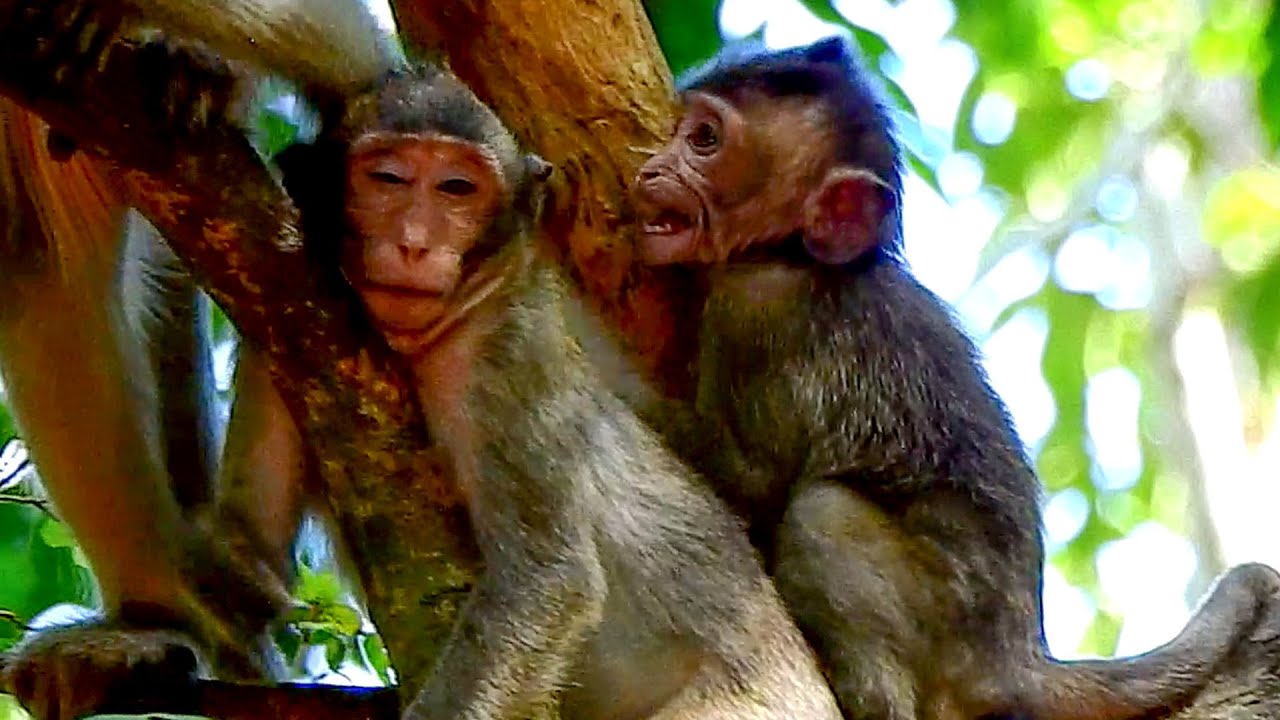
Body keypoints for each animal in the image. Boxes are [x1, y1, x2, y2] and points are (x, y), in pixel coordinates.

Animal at [629, 37, 1280, 720]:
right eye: (681, 129)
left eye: (704, 140)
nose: (652, 170)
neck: (794, 253)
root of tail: (1016, 655)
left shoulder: (755, 307)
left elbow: (753, 482)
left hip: (945, 615)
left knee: (822, 511)